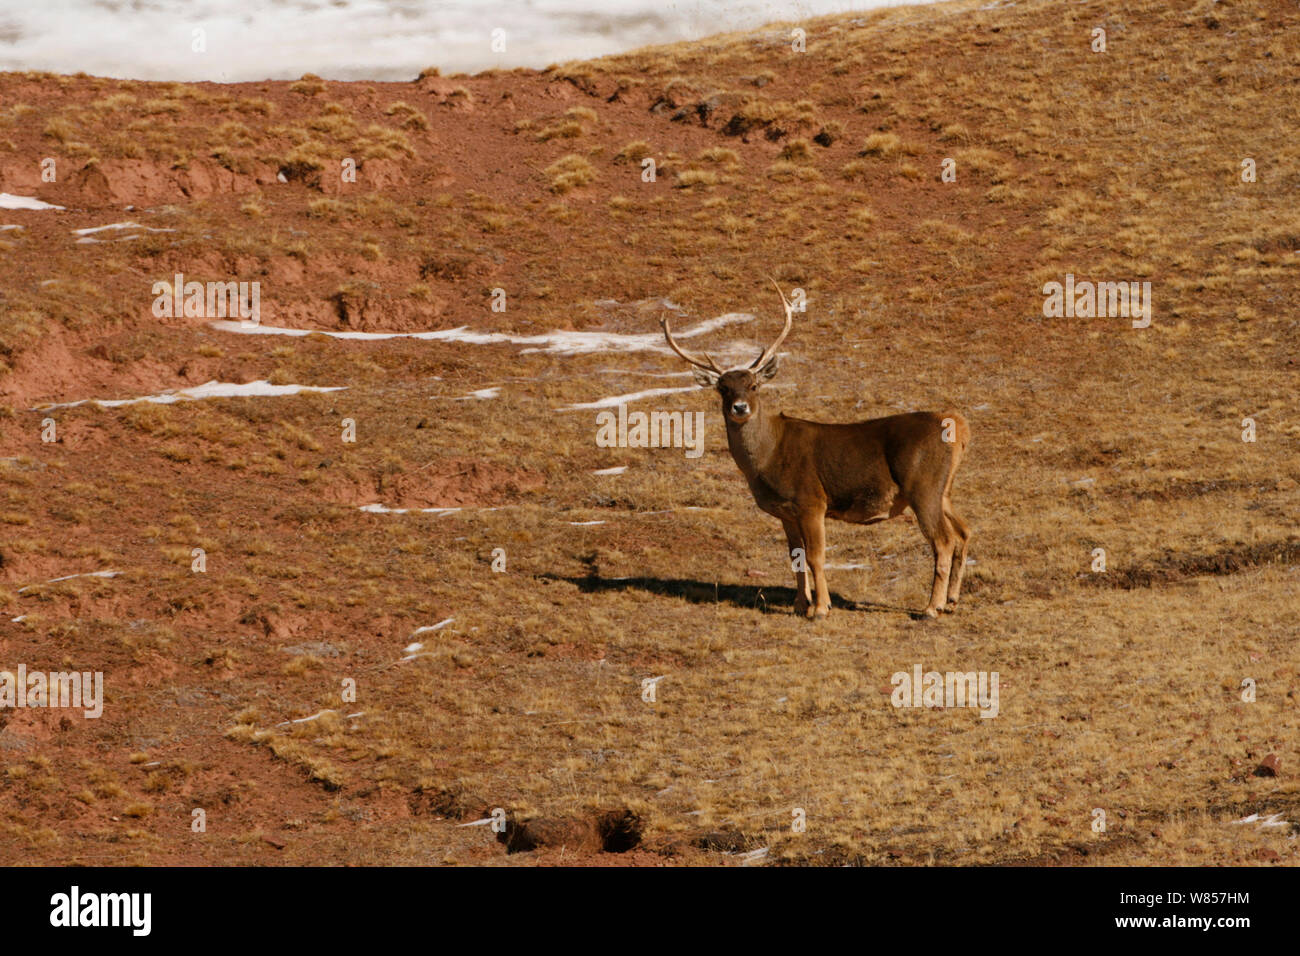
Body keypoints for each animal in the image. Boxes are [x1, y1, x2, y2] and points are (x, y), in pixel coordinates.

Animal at [660, 282, 971, 620]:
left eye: (754, 385)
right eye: (723, 388)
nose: (739, 407)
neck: (768, 457)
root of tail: (957, 425)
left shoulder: (811, 500)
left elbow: (815, 556)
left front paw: (821, 608)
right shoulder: (785, 511)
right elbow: (794, 558)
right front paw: (800, 604)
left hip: (922, 486)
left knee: (943, 539)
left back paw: (931, 607)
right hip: (943, 491)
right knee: (964, 531)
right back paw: (951, 601)